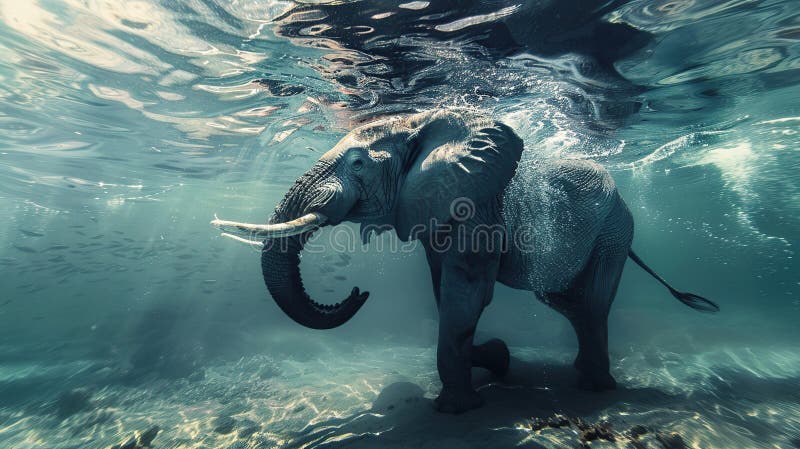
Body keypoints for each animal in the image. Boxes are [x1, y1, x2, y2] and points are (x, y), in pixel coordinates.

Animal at [211, 109, 718, 413]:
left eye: (357, 164)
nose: (357, 291)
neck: (420, 124)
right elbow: (448, 297)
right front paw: (496, 359)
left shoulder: (477, 210)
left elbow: (466, 296)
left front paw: (456, 408)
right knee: (568, 302)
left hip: (615, 230)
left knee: (592, 304)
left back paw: (596, 388)